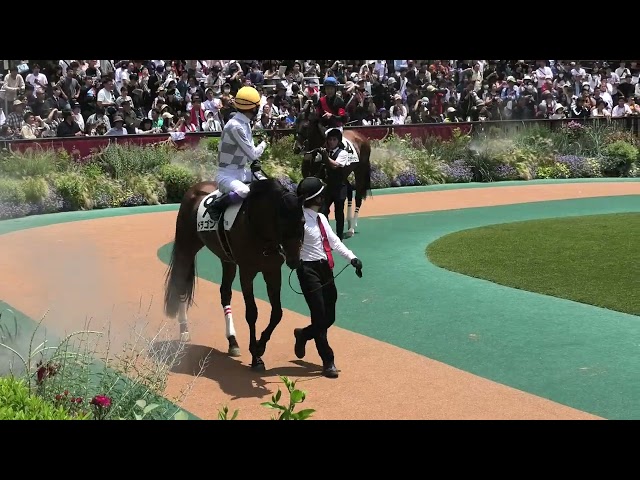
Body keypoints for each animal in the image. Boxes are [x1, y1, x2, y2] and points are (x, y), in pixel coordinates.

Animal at [163, 177, 305, 371]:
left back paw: (232, 341)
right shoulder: (247, 272)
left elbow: (277, 313)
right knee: (181, 284)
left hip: (226, 259)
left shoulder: (272, 271)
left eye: (303, 221)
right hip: (187, 247)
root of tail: (195, 187)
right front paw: (256, 356)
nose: (294, 261)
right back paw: (184, 329)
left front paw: (260, 347)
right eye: (283, 223)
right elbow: (252, 312)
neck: (256, 224)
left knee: (225, 293)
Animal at [293, 102, 372, 237]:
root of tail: (361, 137)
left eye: (305, 126)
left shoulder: (327, 185)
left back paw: (351, 229)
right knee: (349, 191)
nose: (296, 148)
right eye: (295, 124)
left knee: (358, 197)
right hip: (345, 175)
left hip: (360, 171)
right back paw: (349, 223)